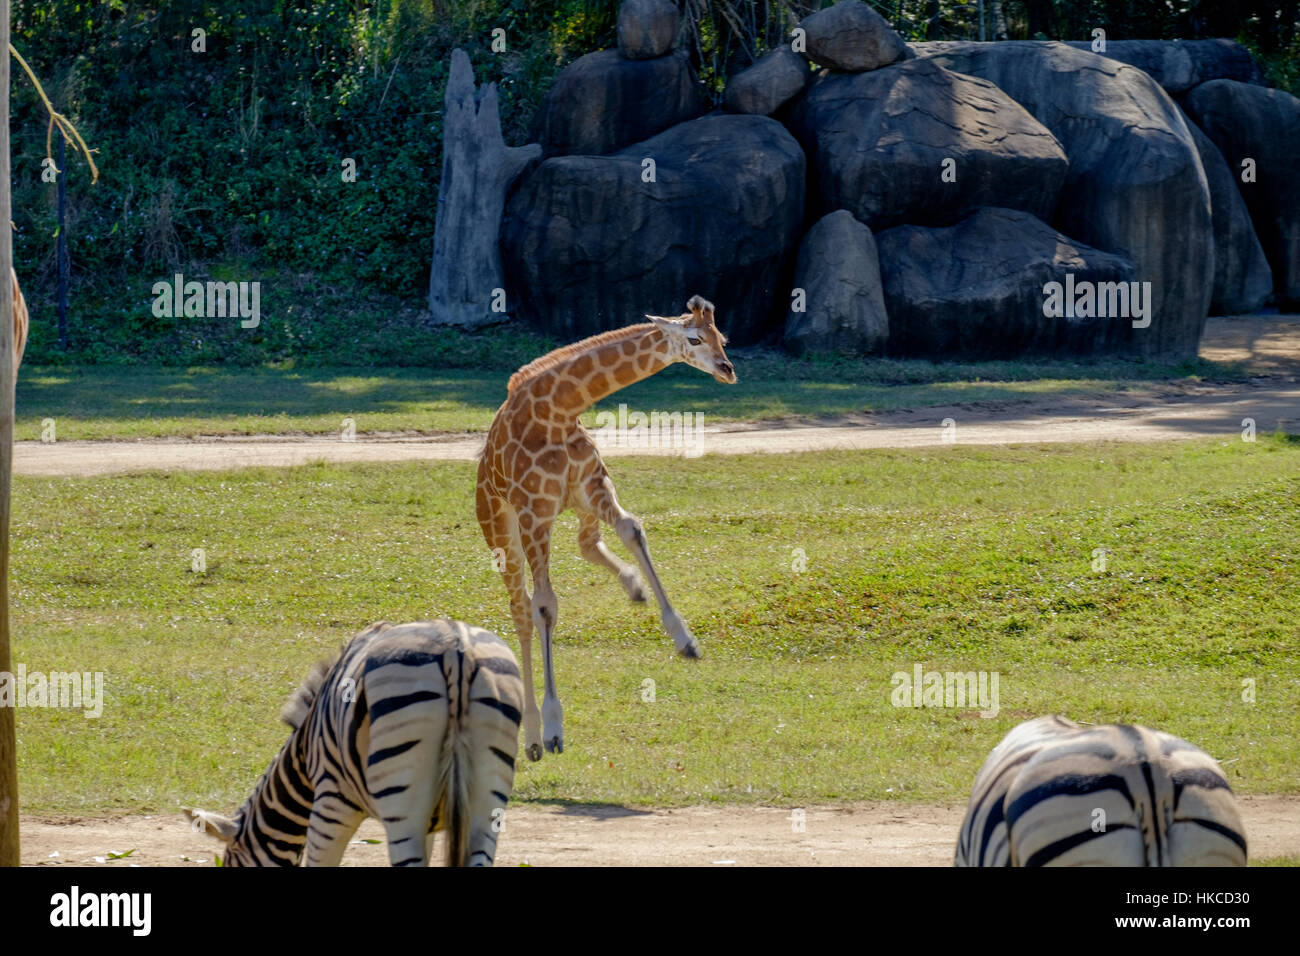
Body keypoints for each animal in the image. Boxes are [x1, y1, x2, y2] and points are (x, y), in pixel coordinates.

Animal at [476, 294, 736, 761]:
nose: (728, 369)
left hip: (576, 507)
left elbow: (633, 530)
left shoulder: (594, 487)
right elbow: (545, 606)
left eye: (721, 336)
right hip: (501, 528)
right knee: (521, 610)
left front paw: (685, 640)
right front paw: (554, 726)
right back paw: (532, 738)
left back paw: (634, 587)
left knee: (586, 543)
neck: (557, 410)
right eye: (694, 338)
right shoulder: (535, 511)